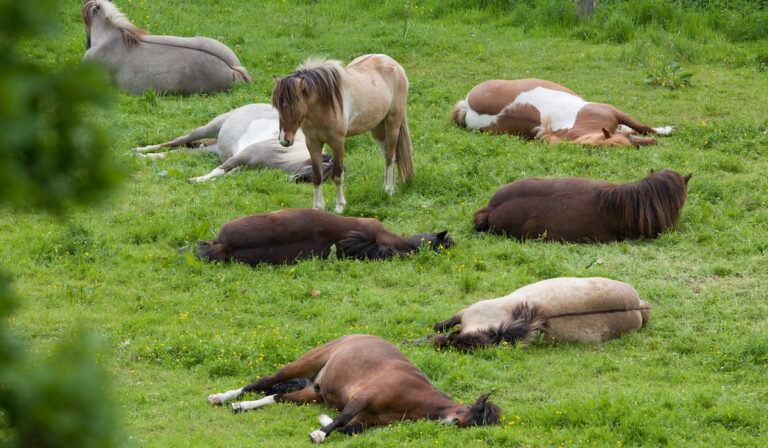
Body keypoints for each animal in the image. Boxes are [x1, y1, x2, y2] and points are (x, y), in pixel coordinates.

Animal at [131, 104, 334, 183]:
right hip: (209, 127)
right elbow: (219, 170)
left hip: (210, 149)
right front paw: (195, 180)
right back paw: (141, 150)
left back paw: (150, 156)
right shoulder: (242, 155)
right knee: (178, 141)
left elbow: (228, 172)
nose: (293, 180)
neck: (283, 154)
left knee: (182, 151)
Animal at [207, 335, 501, 443]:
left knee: (277, 396)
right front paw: (319, 434)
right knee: (262, 382)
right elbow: (343, 418)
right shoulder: (363, 398)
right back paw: (223, 397)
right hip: (300, 366)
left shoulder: (367, 420)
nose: (446, 425)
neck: (414, 396)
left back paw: (241, 406)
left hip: (311, 393)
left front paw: (322, 421)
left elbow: (349, 427)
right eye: (470, 415)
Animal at [272, 55, 414, 213]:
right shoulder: (312, 143)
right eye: (277, 106)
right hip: (377, 128)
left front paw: (340, 207)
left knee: (390, 156)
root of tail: (393, 63)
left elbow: (337, 175)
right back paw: (387, 187)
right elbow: (317, 177)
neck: (324, 105)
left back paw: (389, 189)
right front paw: (317, 208)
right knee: (387, 155)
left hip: (393, 123)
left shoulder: (337, 142)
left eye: (294, 106)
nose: (284, 140)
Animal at [452, 79, 676, 147]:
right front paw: (665, 130)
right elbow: (640, 127)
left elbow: (639, 126)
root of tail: (467, 106)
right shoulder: (614, 111)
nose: (653, 144)